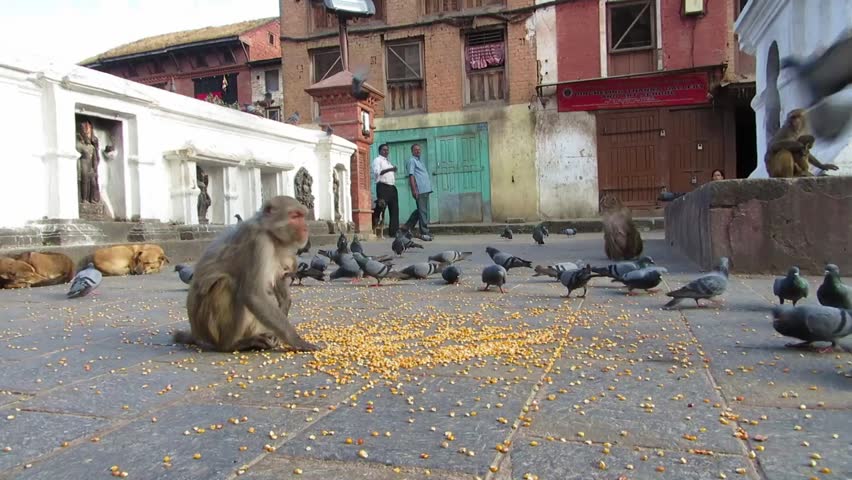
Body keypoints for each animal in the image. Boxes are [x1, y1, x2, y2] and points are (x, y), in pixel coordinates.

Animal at [172, 196, 320, 353]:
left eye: (303, 216)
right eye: (295, 216)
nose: (306, 227)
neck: (270, 233)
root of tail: (197, 334)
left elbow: (278, 279)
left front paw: (283, 310)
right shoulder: (258, 243)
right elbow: (253, 294)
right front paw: (296, 340)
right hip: (209, 327)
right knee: (228, 284)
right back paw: (232, 344)